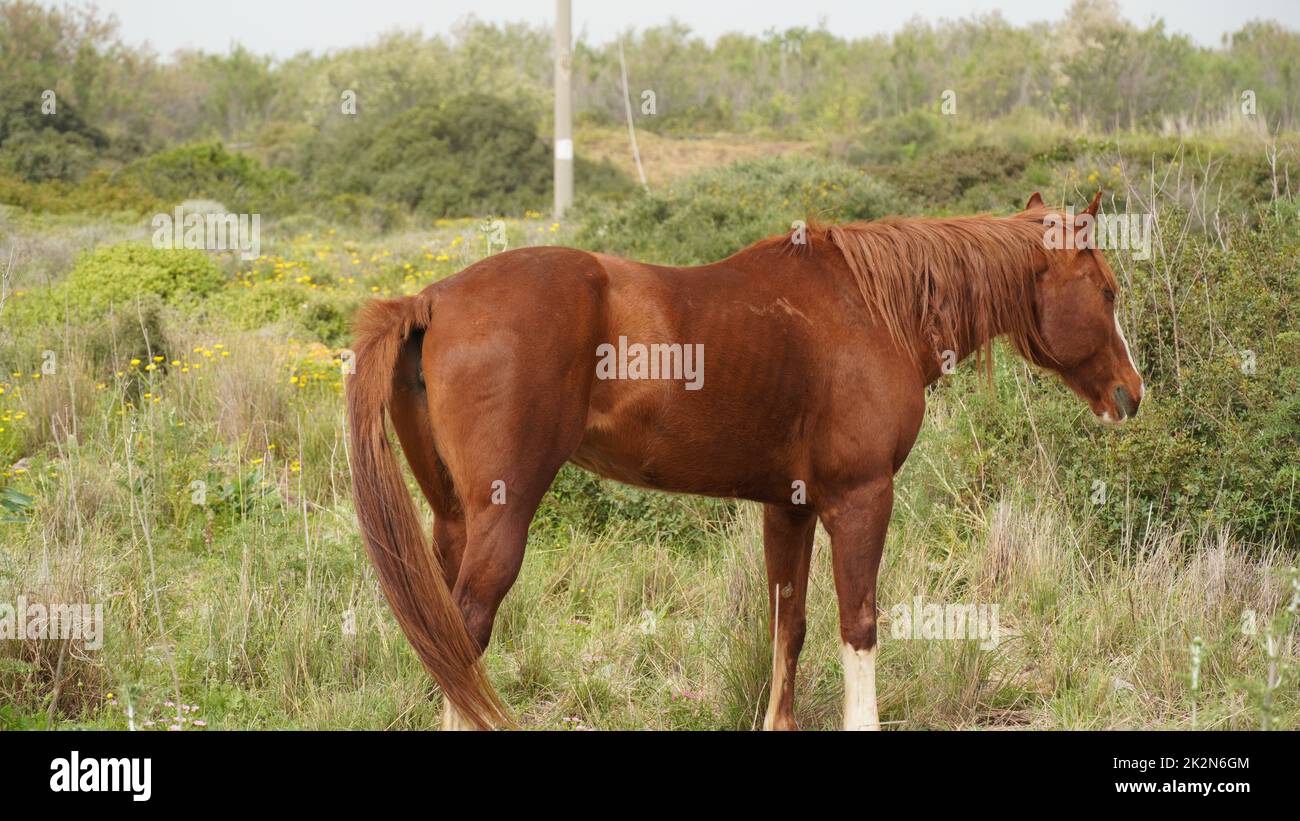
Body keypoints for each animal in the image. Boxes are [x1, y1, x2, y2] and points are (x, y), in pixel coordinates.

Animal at [346, 190, 1144, 730]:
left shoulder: (788, 507)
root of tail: (430, 300)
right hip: (502, 518)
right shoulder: (861, 498)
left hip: (452, 519)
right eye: (1107, 291)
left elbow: (788, 625)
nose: (1131, 395)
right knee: (465, 634)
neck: (872, 310)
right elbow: (859, 623)